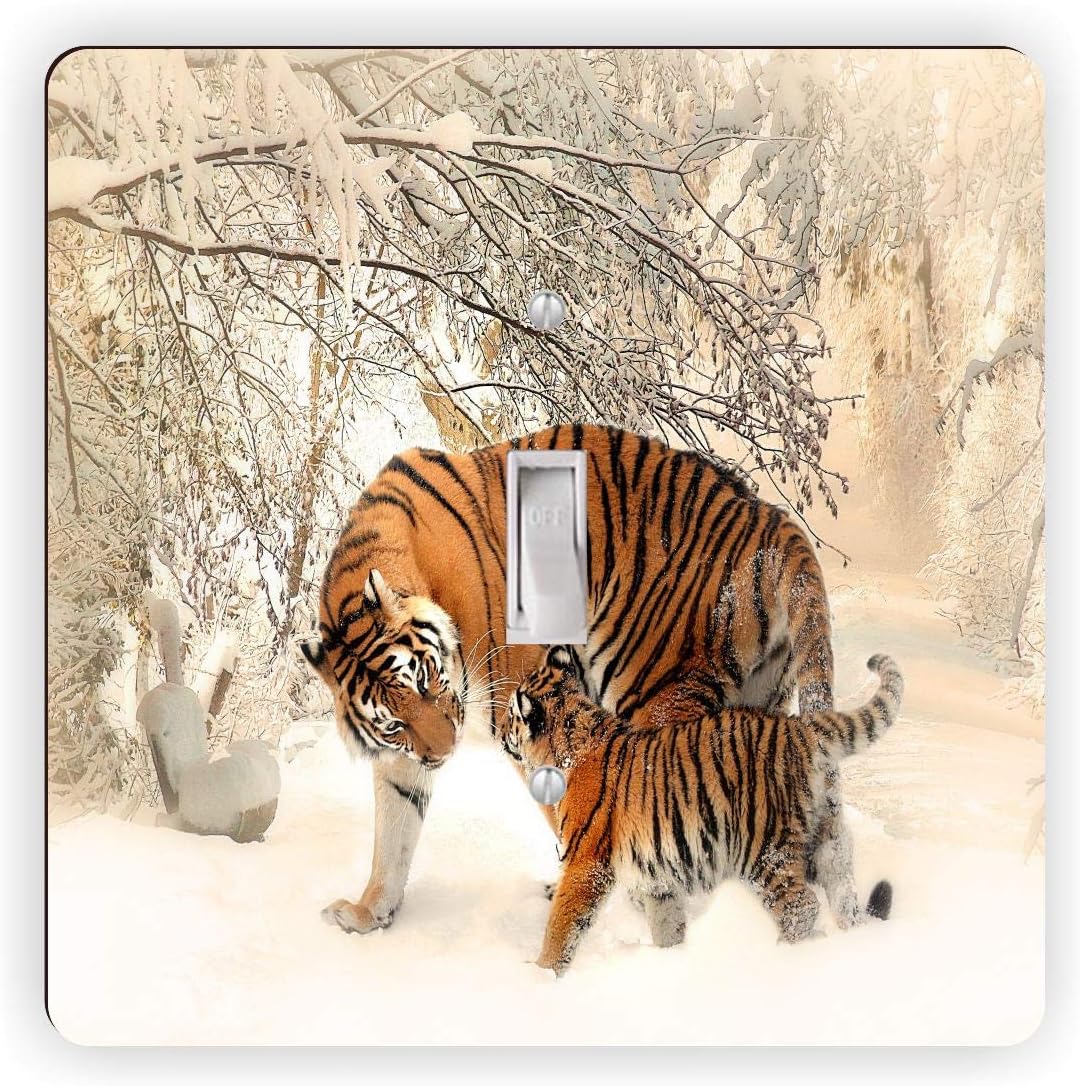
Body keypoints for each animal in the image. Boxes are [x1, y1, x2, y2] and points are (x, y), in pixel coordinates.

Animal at [301, 424, 851, 939]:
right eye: (393, 723)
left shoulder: (523, 707)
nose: (444, 753)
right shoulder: (402, 754)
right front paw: (368, 913)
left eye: (427, 680)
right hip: (756, 705)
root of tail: (770, 519)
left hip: (654, 690)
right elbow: (393, 831)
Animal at [500, 646, 902, 975]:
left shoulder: (586, 863)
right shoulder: (656, 876)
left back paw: (782, 956)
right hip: (825, 835)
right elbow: (667, 922)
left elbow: (562, 925)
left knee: (800, 907)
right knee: (841, 887)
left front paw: (541, 974)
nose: (500, 731)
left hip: (764, 848)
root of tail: (798, 727)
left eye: (510, 715)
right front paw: (670, 959)